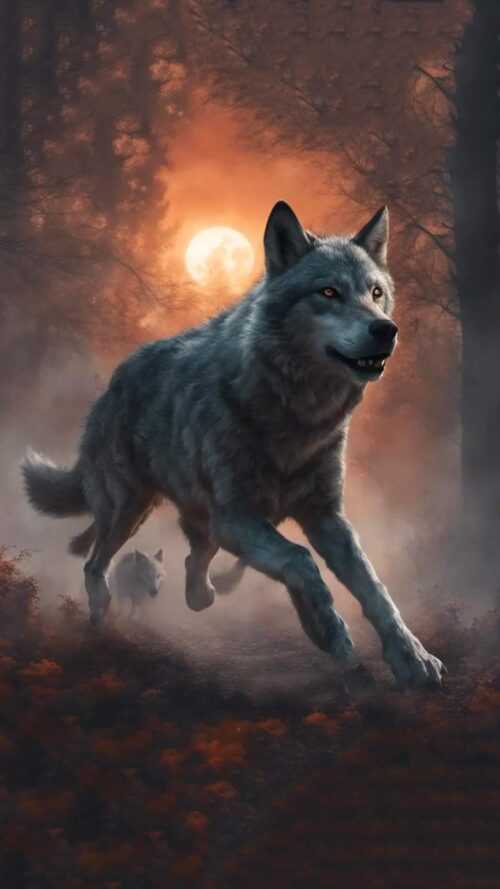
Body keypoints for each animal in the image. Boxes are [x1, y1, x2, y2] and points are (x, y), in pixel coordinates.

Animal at [22, 201, 446, 688]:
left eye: (375, 293)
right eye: (329, 292)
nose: (386, 329)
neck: (297, 416)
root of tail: (109, 387)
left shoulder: (325, 516)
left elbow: (375, 590)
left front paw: (412, 659)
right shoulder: (238, 517)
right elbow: (301, 560)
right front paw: (329, 631)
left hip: (195, 521)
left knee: (193, 563)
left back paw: (202, 595)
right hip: (129, 510)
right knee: (95, 564)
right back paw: (99, 620)